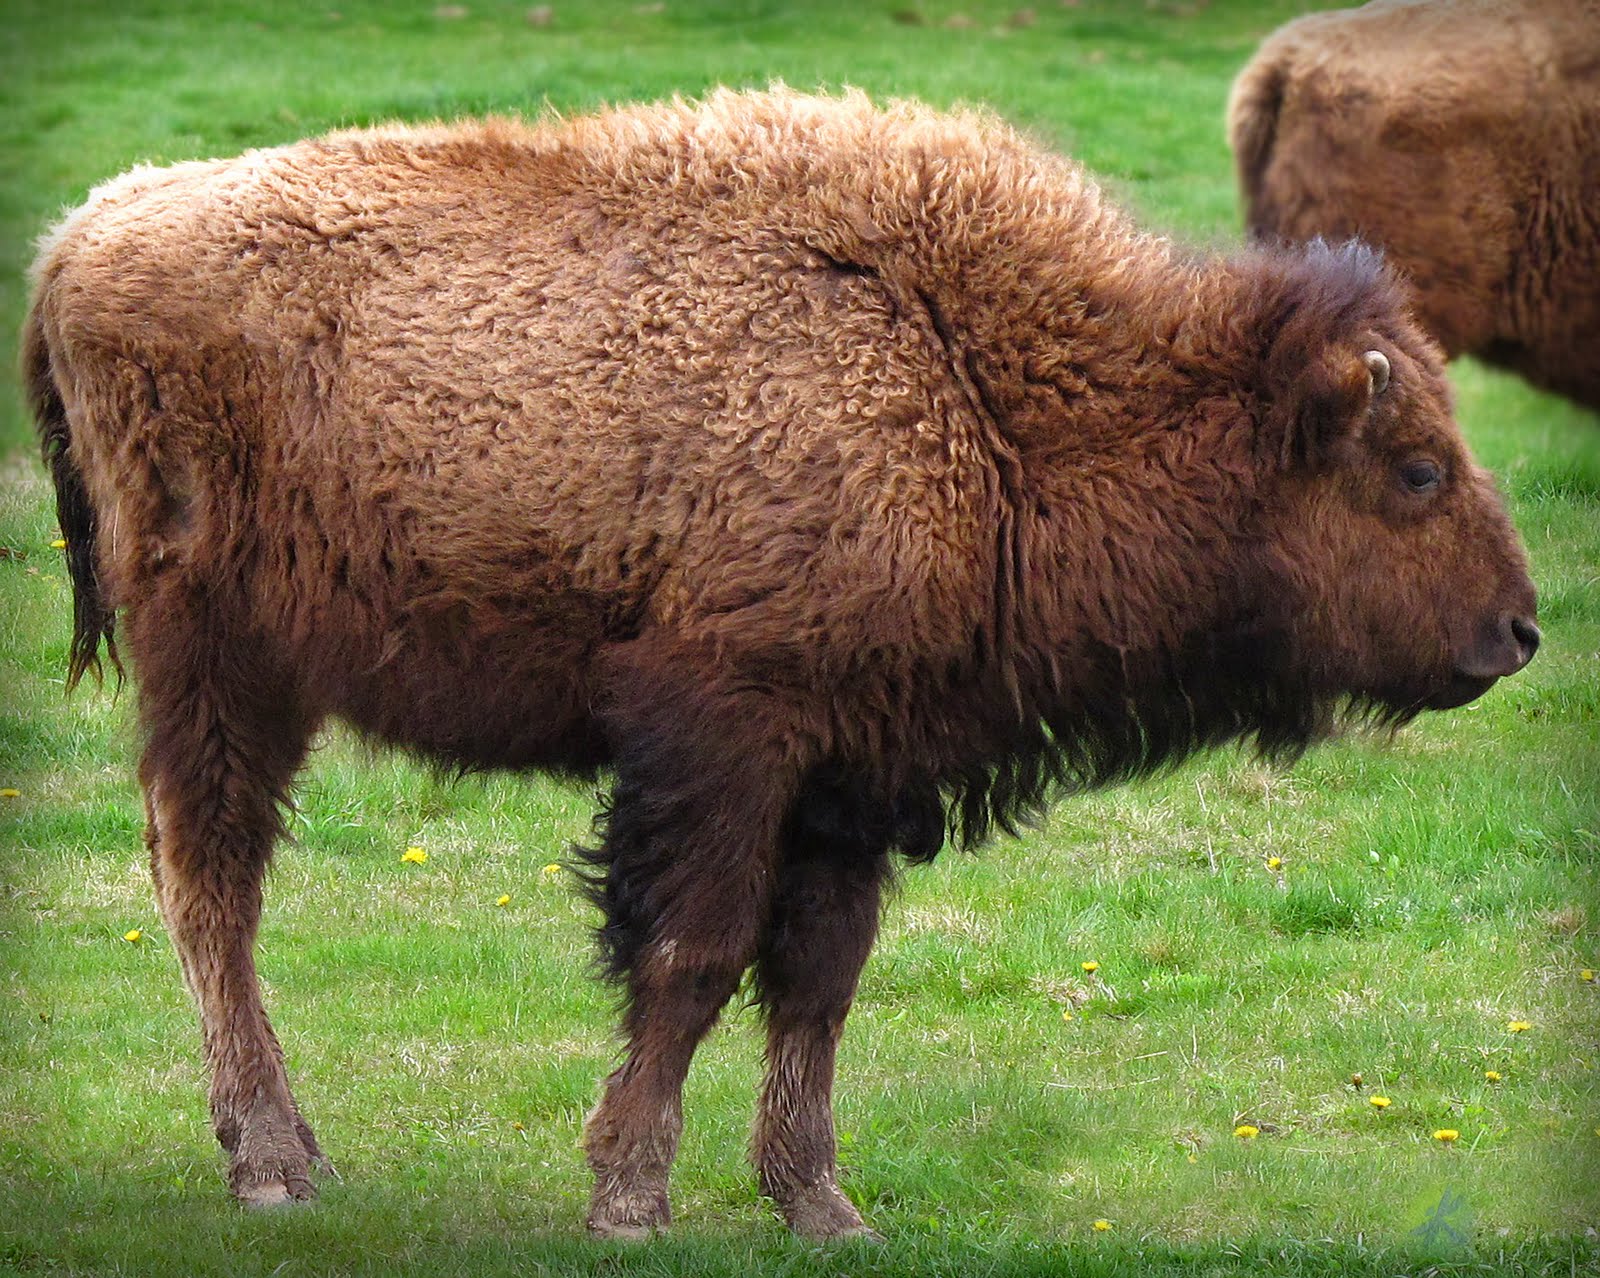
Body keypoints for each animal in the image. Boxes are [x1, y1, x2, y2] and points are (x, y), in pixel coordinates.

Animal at [26, 88, 1538, 1239]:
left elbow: (818, 975)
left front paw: (820, 1204)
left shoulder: (852, 769)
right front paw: (629, 1197)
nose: (1521, 630)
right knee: (211, 879)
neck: (970, 379)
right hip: (217, 658)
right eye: (1414, 470)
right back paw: (273, 1165)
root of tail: (83, 232)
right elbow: (692, 957)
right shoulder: (729, 733)